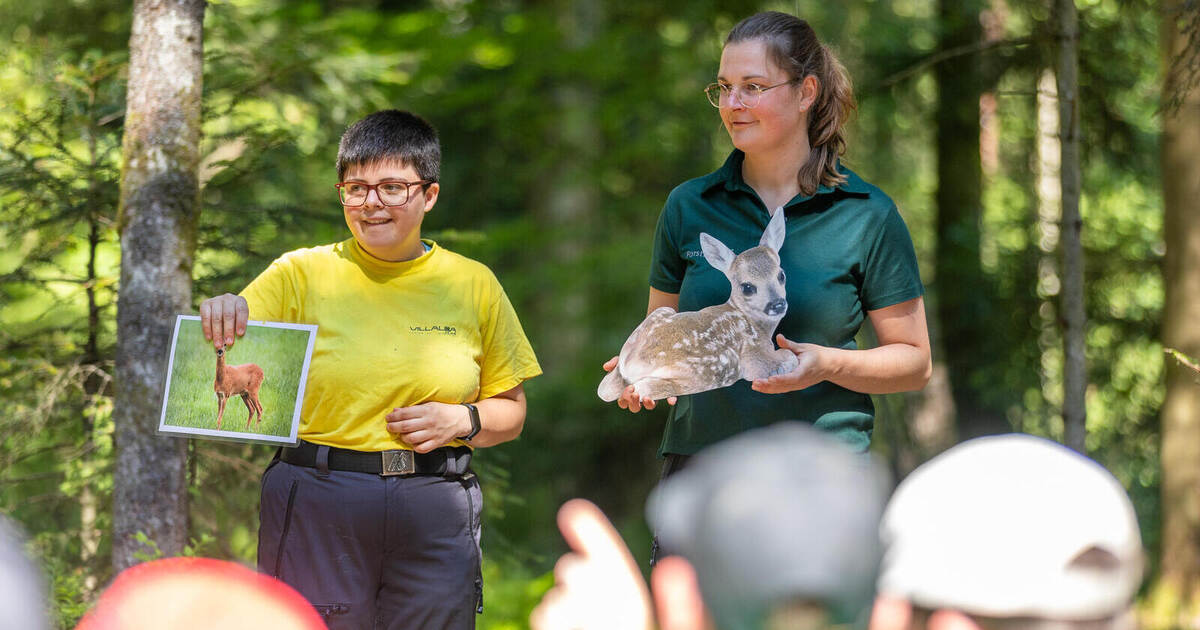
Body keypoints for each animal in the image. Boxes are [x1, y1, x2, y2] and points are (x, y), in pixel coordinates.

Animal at [598, 208, 798, 403]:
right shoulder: (755, 359)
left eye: (781, 275)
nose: (777, 304)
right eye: (747, 287)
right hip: (712, 369)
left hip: (660, 313)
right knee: (643, 388)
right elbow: (789, 357)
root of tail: (631, 365)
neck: (755, 324)